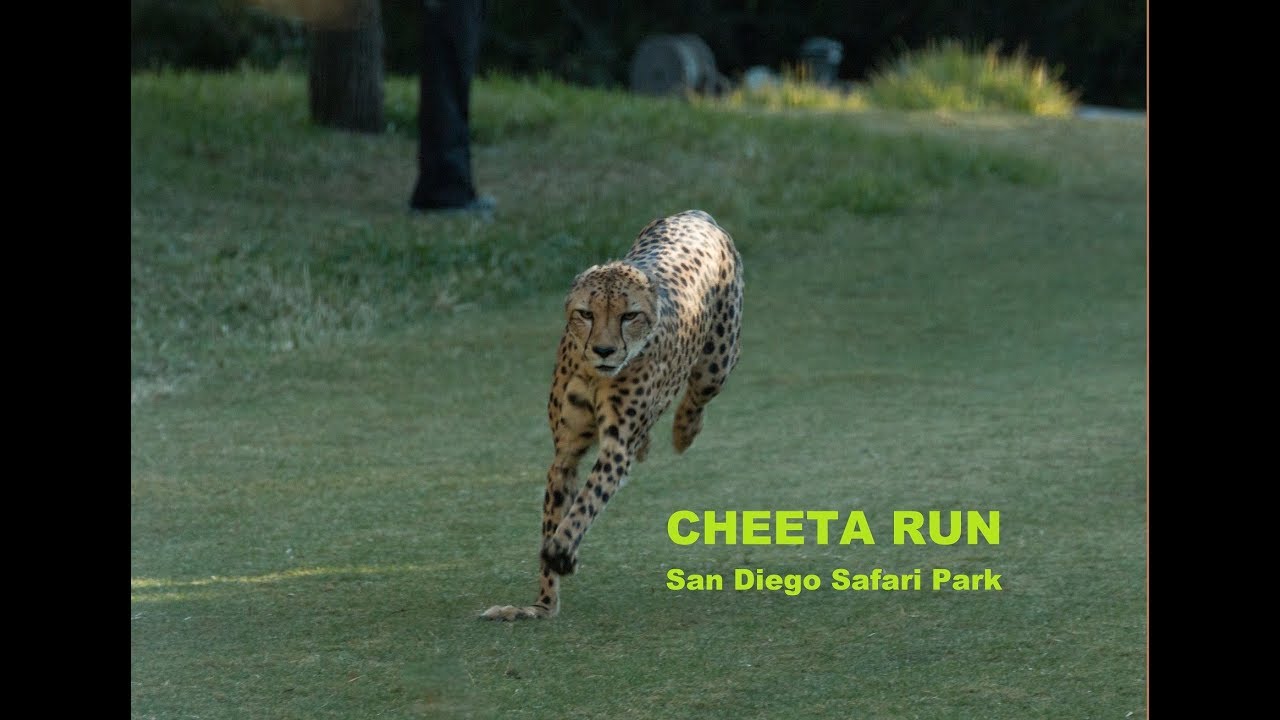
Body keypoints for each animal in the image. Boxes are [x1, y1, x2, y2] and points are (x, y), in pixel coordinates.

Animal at [481, 209, 744, 620]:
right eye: (586, 314)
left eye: (629, 315)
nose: (604, 350)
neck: (594, 373)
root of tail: (692, 214)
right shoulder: (566, 455)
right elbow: (557, 515)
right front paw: (543, 604)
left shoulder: (616, 447)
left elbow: (587, 502)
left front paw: (561, 552)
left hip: (716, 363)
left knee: (697, 395)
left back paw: (684, 430)